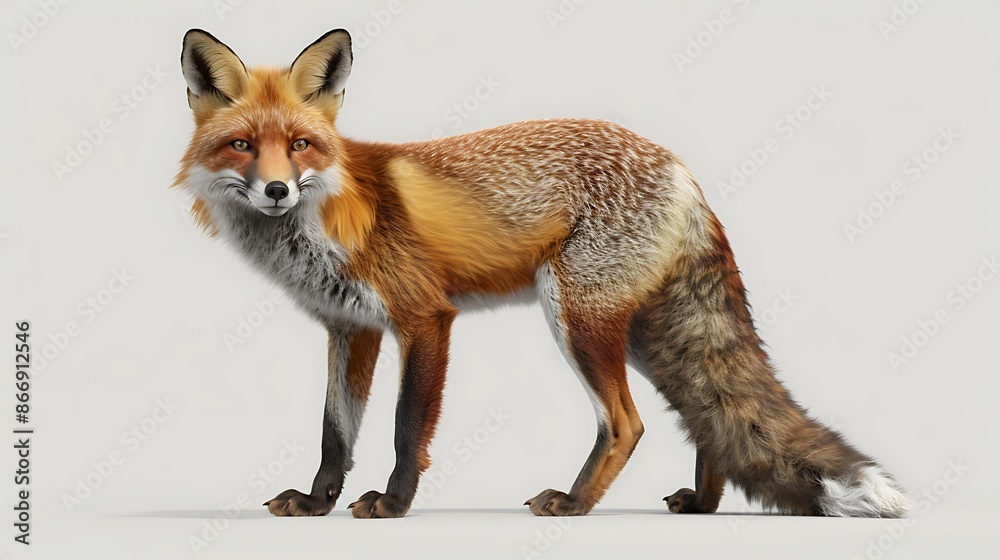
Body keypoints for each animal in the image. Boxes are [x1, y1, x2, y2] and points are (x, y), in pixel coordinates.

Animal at [174, 28, 909, 519]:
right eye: (242, 145)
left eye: (301, 144)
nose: (275, 190)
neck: (327, 216)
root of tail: (681, 170)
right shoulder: (350, 328)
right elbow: (335, 430)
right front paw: (318, 501)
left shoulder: (423, 318)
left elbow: (407, 426)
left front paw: (394, 503)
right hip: (637, 335)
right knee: (704, 416)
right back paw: (702, 503)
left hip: (578, 318)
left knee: (627, 424)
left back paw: (576, 503)